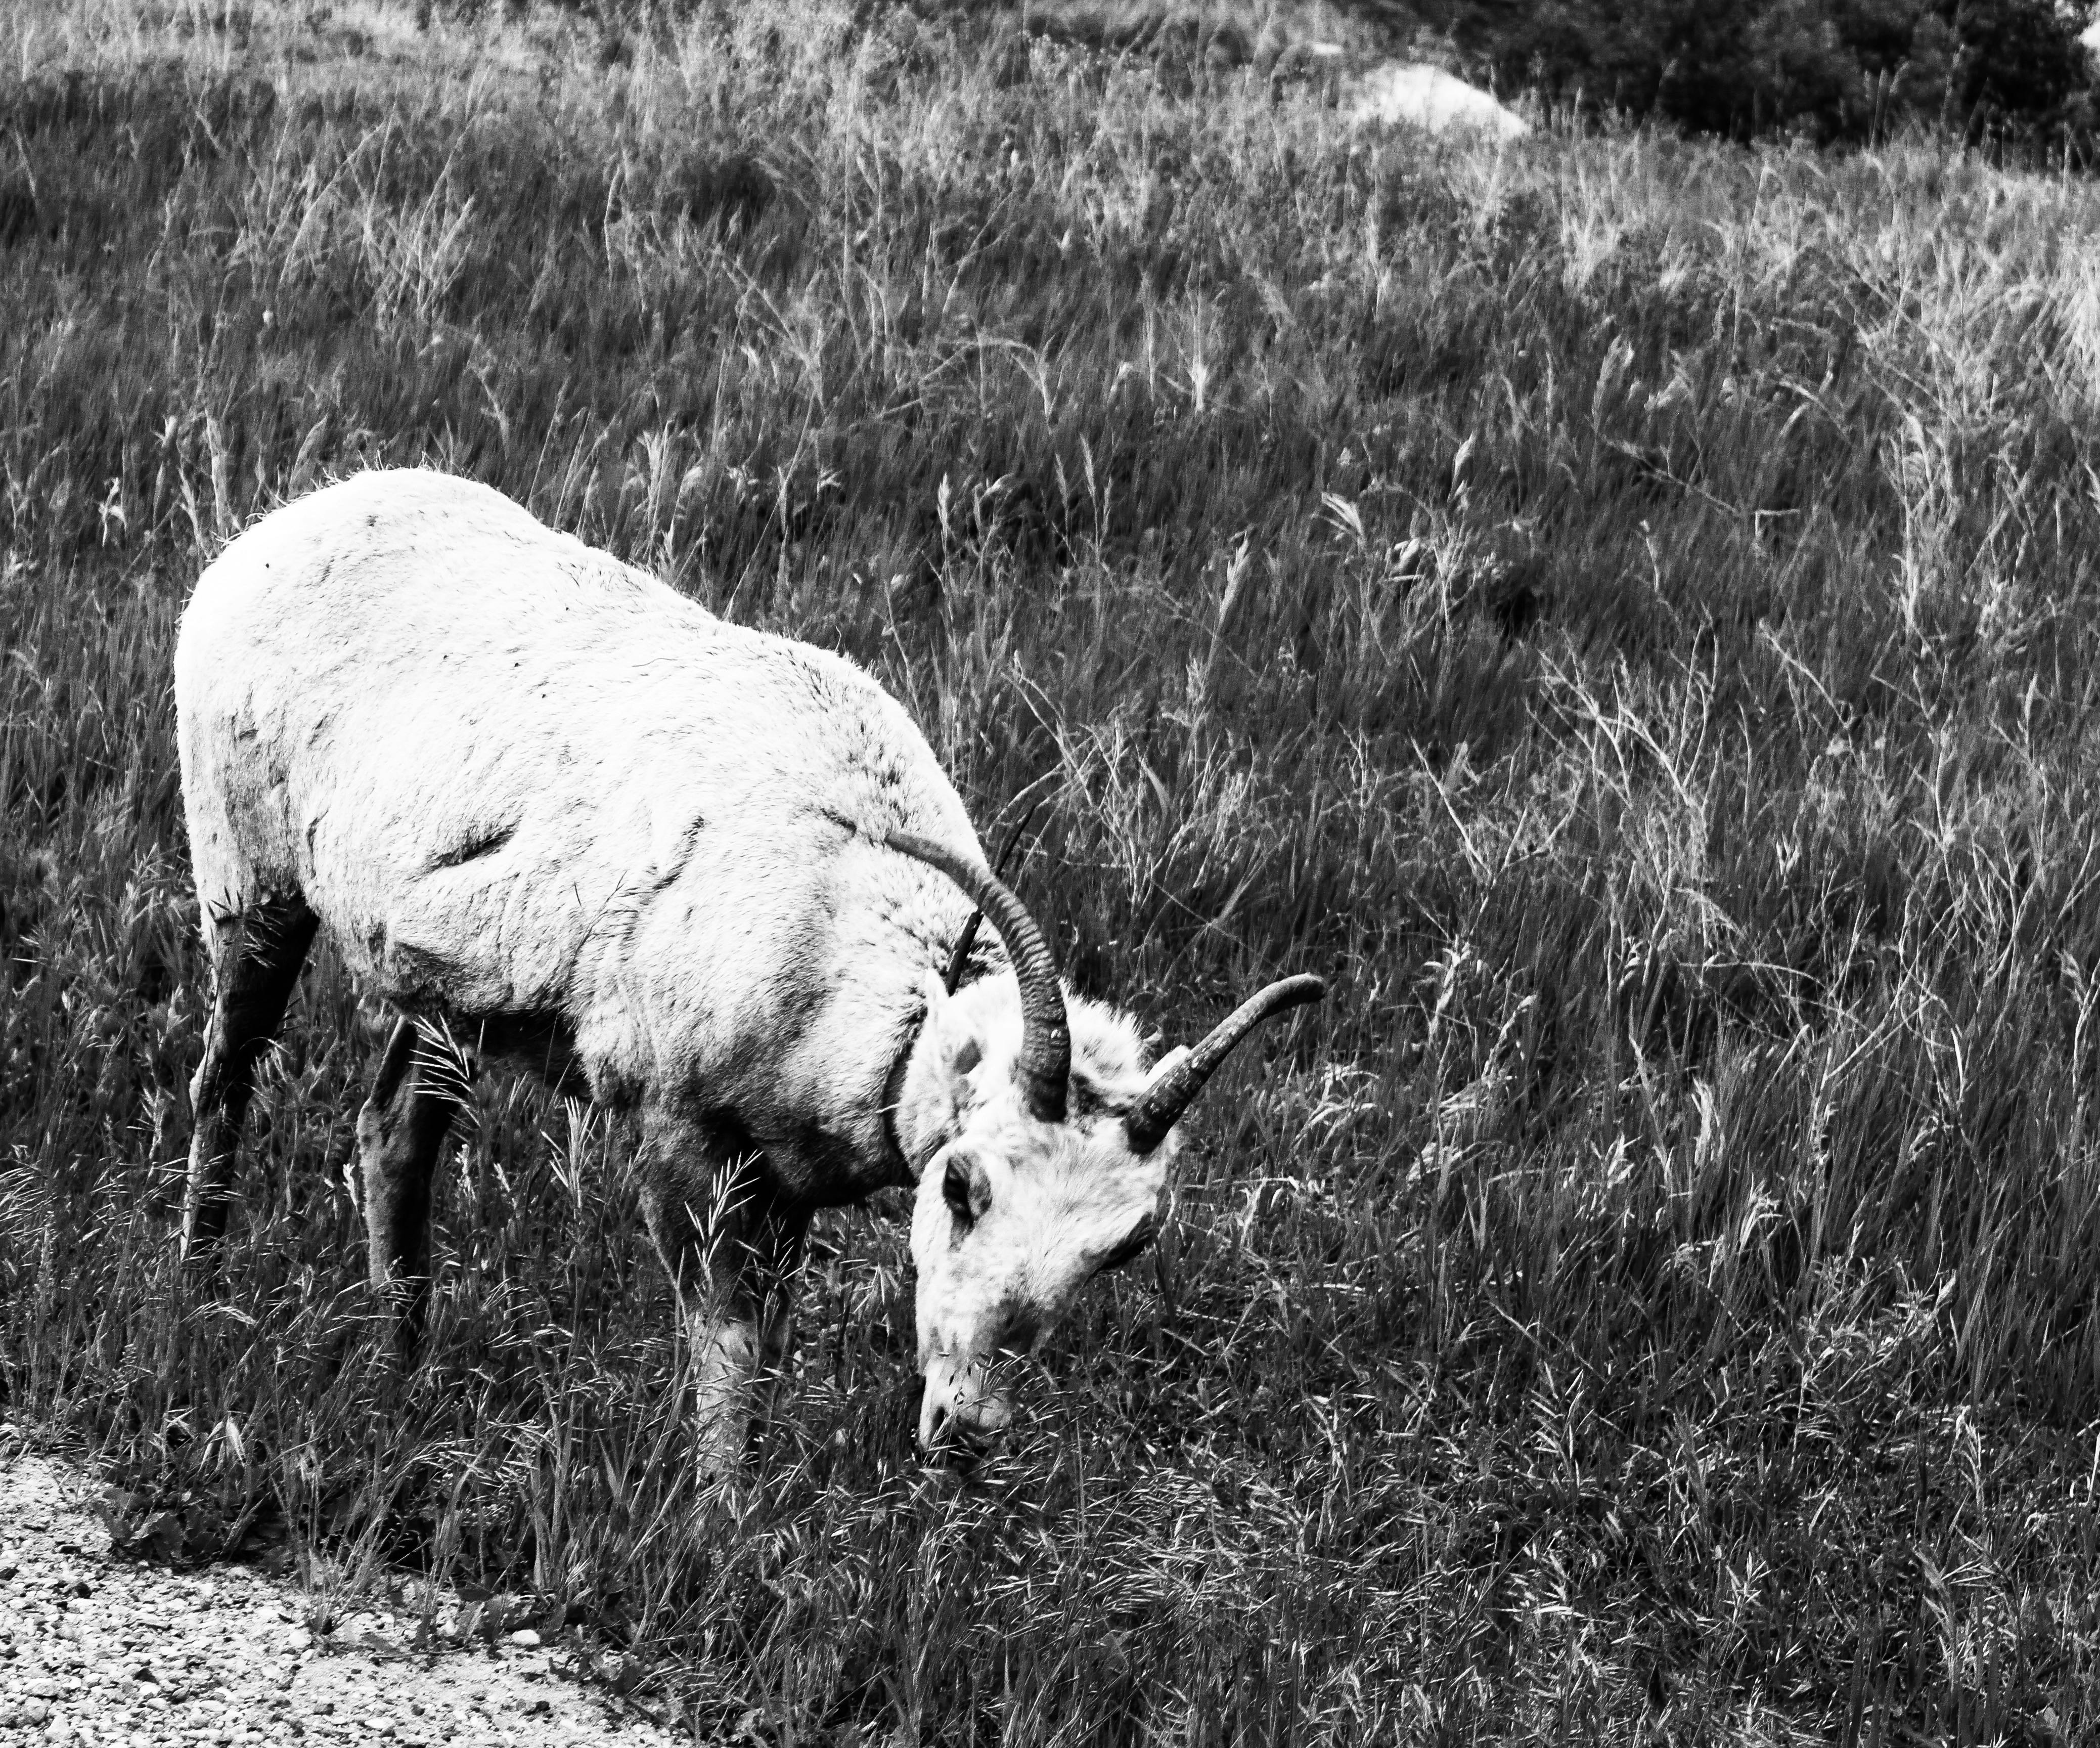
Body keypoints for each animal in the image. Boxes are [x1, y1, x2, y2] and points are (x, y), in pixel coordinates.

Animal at [174, 468, 1324, 1460]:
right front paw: (718, 1519)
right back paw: (199, 1302)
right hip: (246, 874)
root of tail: (306, 515)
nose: (965, 1432)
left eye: (1121, 1246)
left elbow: (768, 1343)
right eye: (961, 1186)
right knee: (225, 1080)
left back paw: (401, 1375)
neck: (852, 916)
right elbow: (725, 1339)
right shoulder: (681, 1129)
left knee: (393, 1136)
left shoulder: (788, 1168)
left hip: (447, 982)